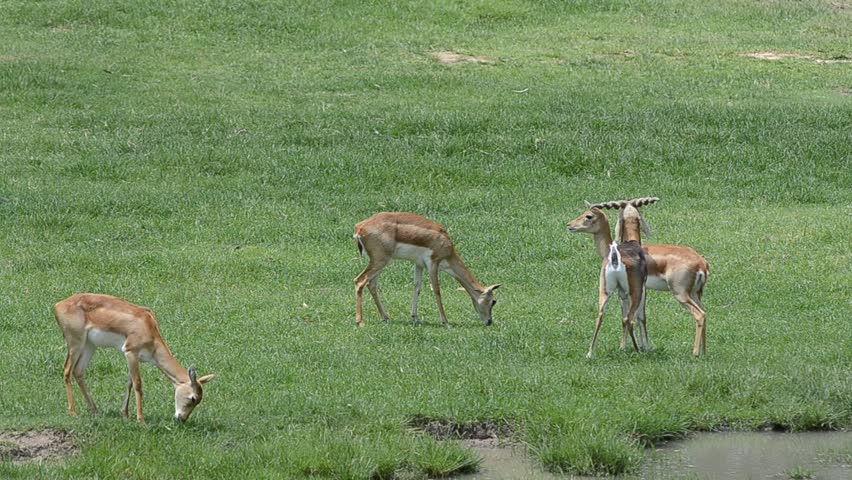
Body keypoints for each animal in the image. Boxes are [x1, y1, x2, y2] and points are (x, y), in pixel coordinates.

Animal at [53, 293, 215, 423]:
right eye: (193, 398)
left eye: (199, 400)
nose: (182, 418)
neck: (148, 327)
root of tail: (58, 305)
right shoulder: (130, 352)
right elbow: (138, 384)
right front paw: (140, 419)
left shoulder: (136, 358)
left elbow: (129, 383)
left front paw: (125, 414)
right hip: (76, 343)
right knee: (67, 370)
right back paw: (73, 412)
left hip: (89, 345)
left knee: (79, 372)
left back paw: (95, 410)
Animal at [353, 212, 501, 327]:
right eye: (493, 301)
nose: (489, 322)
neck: (446, 245)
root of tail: (359, 227)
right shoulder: (433, 263)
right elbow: (436, 290)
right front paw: (445, 322)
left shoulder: (419, 264)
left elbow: (417, 287)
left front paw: (415, 318)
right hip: (380, 261)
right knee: (360, 281)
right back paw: (360, 321)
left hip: (380, 262)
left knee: (371, 284)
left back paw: (385, 318)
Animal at [568, 198, 709, 356]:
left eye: (588, 216)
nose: (570, 225)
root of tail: (701, 262)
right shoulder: (625, 292)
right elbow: (629, 317)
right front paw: (626, 347)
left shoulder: (639, 290)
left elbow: (638, 317)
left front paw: (641, 347)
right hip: (695, 293)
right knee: (704, 313)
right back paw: (703, 352)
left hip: (679, 293)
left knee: (699, 315)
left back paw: (694, 353)